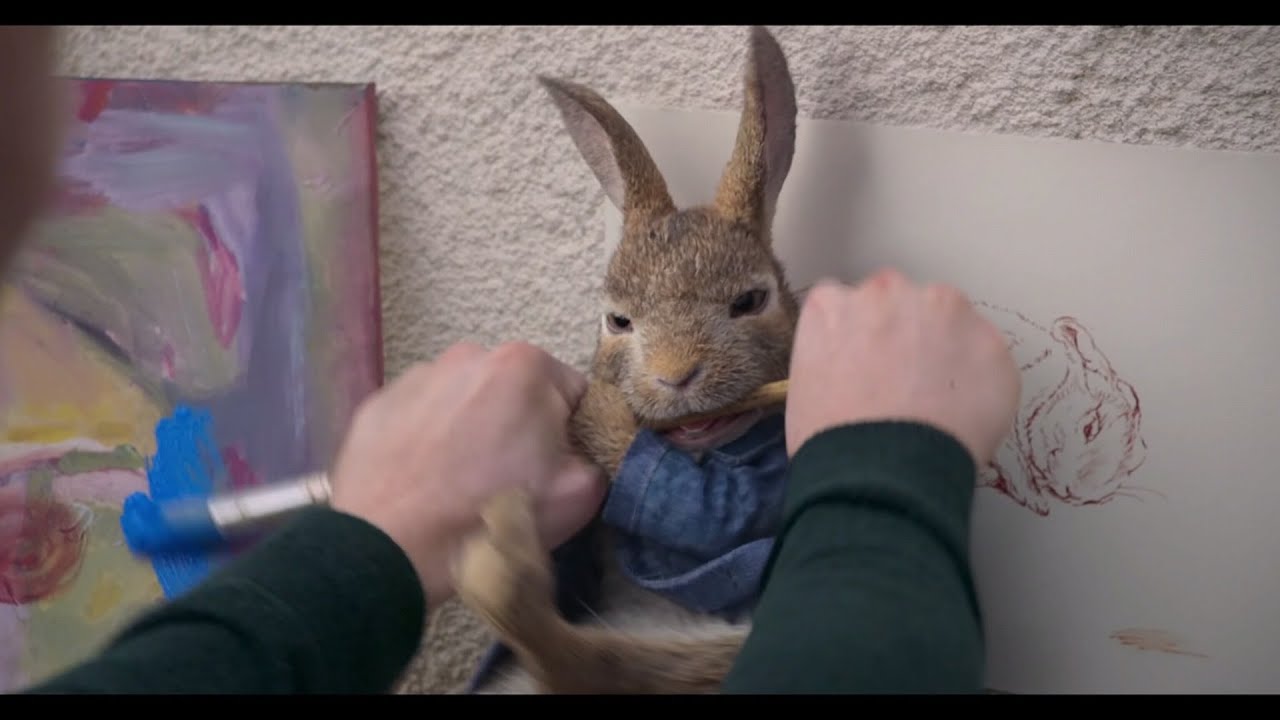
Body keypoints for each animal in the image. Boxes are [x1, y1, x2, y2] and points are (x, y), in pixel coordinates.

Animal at [452, 25, 801, 694]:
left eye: (749, 301)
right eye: (618, 320)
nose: (674, 375)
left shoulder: (767, 471)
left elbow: (714, 507)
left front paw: (593, 410)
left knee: (575, 658)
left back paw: (498, 554)